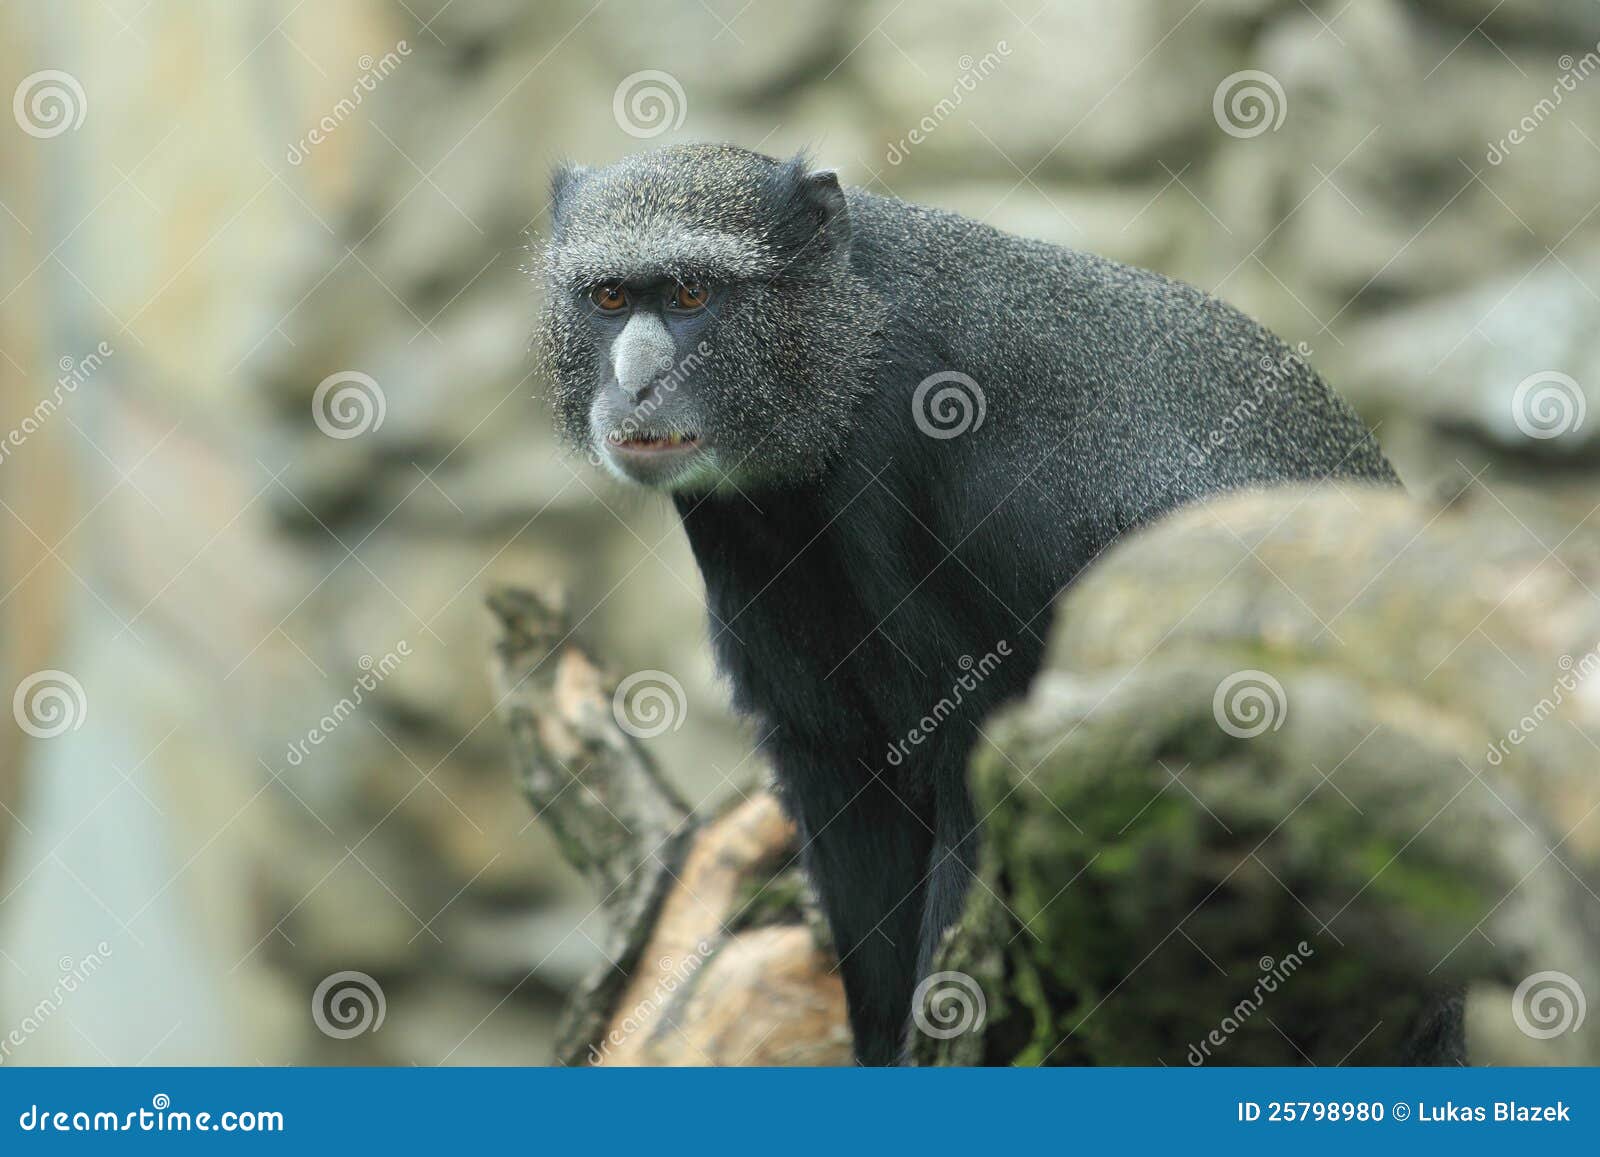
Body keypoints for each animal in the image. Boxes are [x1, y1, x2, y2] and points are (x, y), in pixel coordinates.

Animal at [535, 143, 1438, 1066]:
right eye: (610, 298)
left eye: (690, 295)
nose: (637, 382)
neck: (841, 356)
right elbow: (843, 761)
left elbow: (978, 742)